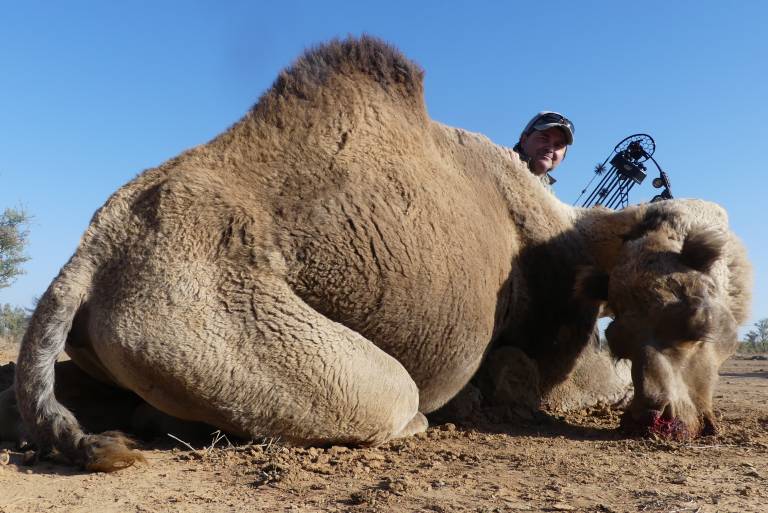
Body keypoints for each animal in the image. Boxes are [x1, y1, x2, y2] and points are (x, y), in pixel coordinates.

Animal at [4, 36, 751, 471]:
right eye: (688, 320)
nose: (666, 421)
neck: (566, 232)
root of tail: (89, 257)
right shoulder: (549, 345)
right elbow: (551, 376)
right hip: (212, 322)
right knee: (391, 398)